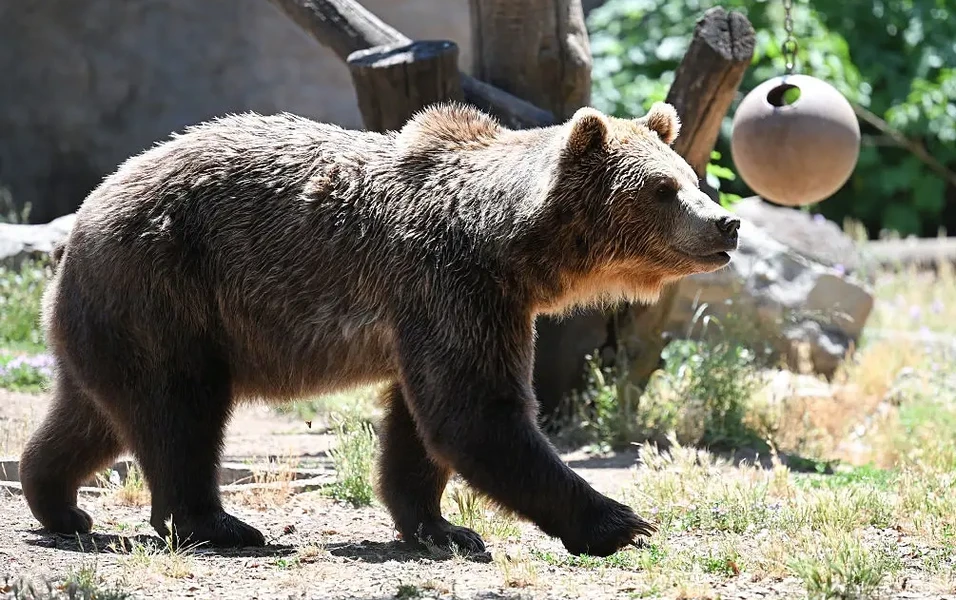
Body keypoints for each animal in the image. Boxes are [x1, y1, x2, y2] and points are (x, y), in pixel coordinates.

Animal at [19, 100, 739, 557]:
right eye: (663, 189)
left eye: (691, 177)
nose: (726, 223)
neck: (513, 246)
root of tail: (78, 224)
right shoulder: (450, 282)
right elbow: (477, 413)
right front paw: (621, 521)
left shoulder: (455, 307)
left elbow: (423, 426)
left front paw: (442, 528)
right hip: (168, 288)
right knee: (181, 412)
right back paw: (218, 525)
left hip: (117, 314)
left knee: (95, 413)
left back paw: (58, 501)